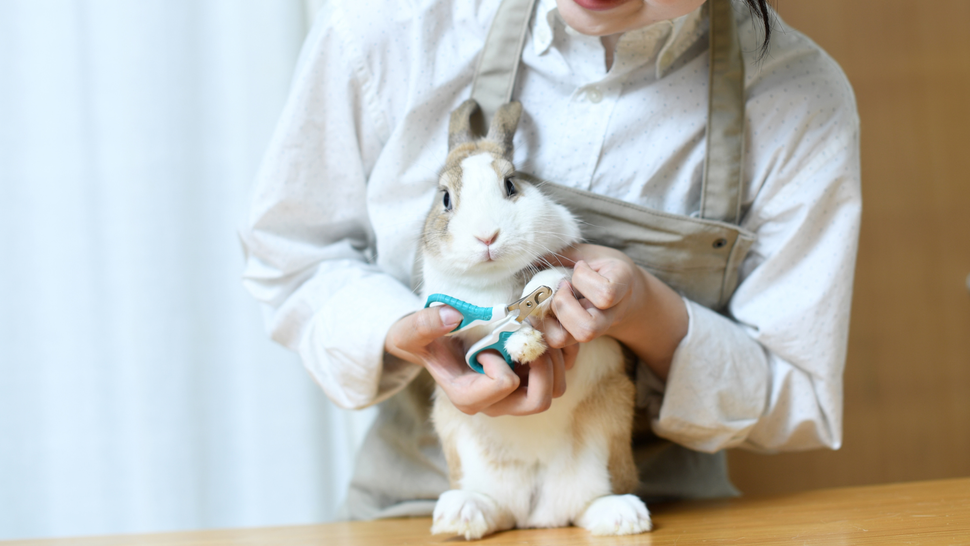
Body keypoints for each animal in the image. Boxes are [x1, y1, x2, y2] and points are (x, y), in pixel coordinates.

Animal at [419, 98, 652, 540]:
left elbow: (546, 283)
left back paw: (623, 516)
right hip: (462, 443)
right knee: (497, 510)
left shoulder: (563, 273)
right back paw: (460, 514)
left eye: (511, 185)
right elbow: (480, 338)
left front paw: (526, 340)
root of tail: (537, 513)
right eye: (445, 199)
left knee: (588, 503)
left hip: (609, 431)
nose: (486, 237)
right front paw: (523, 345)